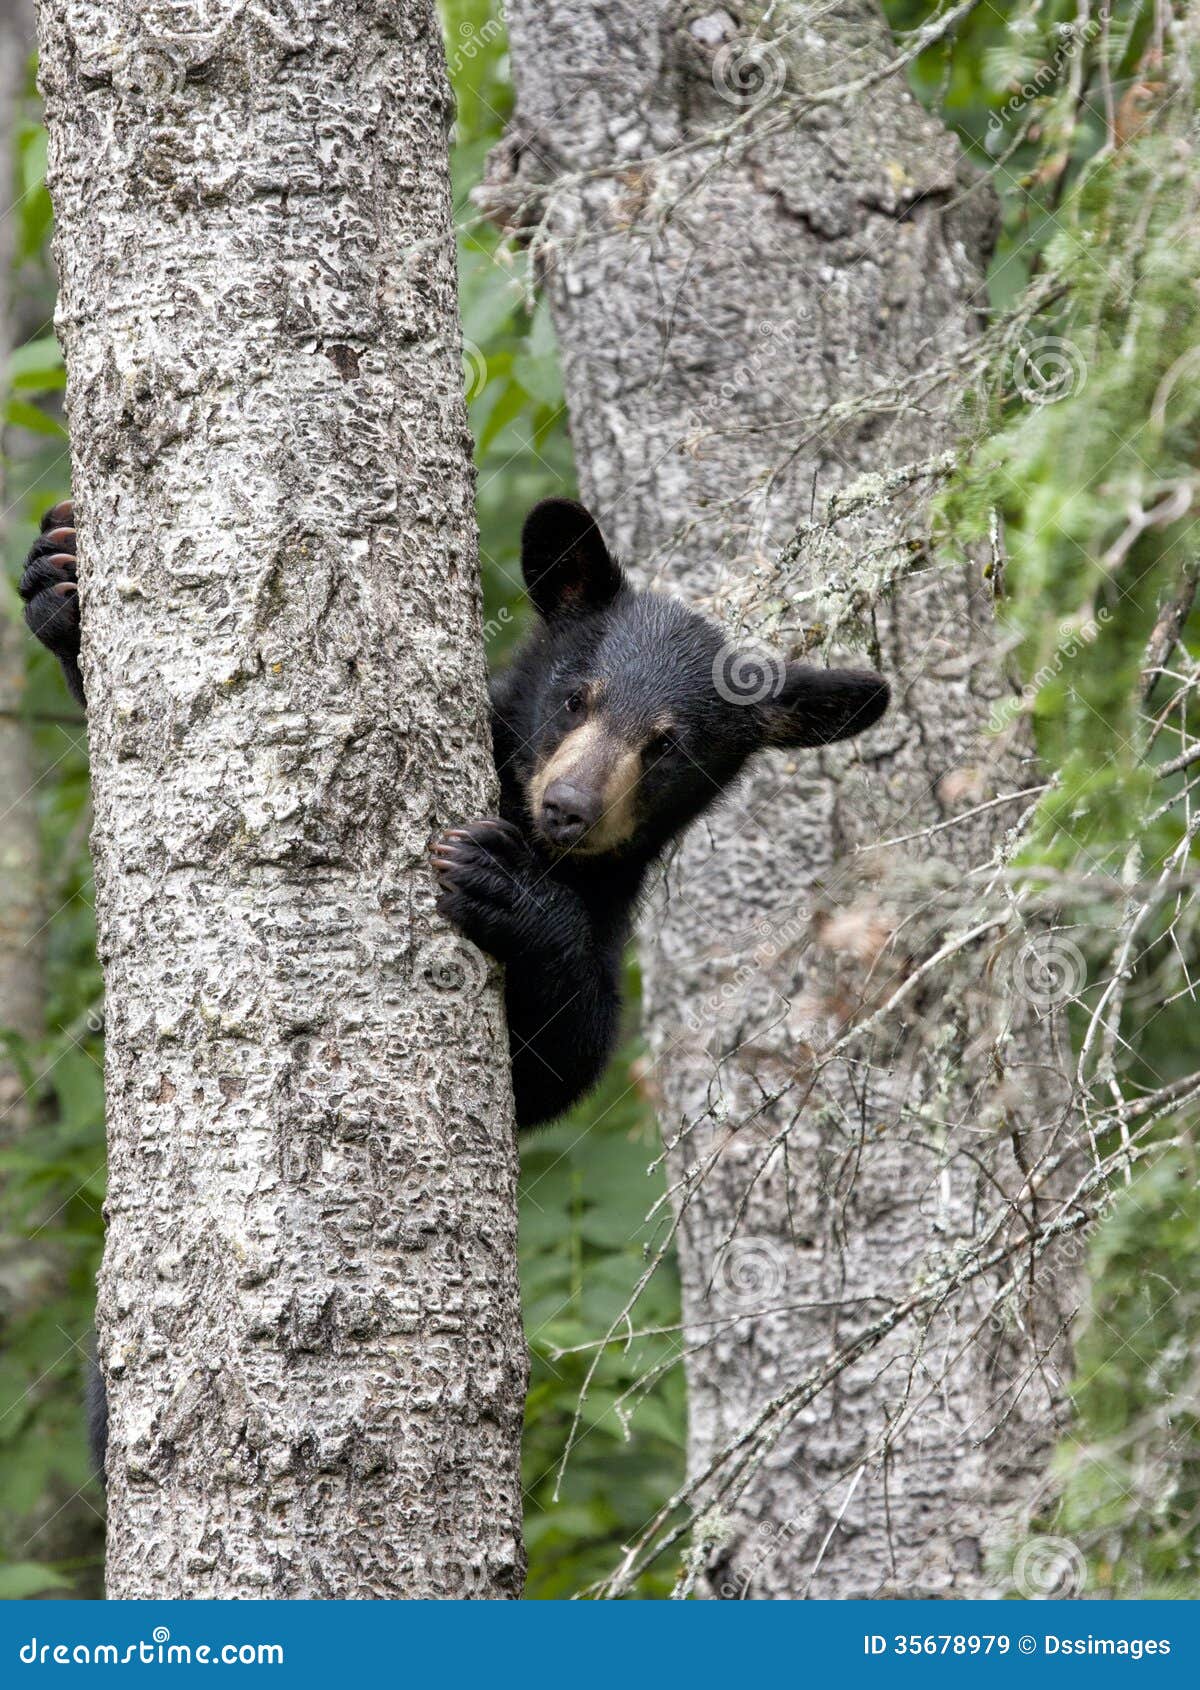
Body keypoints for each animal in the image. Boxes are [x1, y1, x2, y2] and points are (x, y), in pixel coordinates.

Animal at [22, 495, 889, 1131]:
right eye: (576, 698)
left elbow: (561, 1063)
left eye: (667, 746)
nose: (568, 809)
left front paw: (508, 888)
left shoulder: (610, 903)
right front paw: (57, 582)